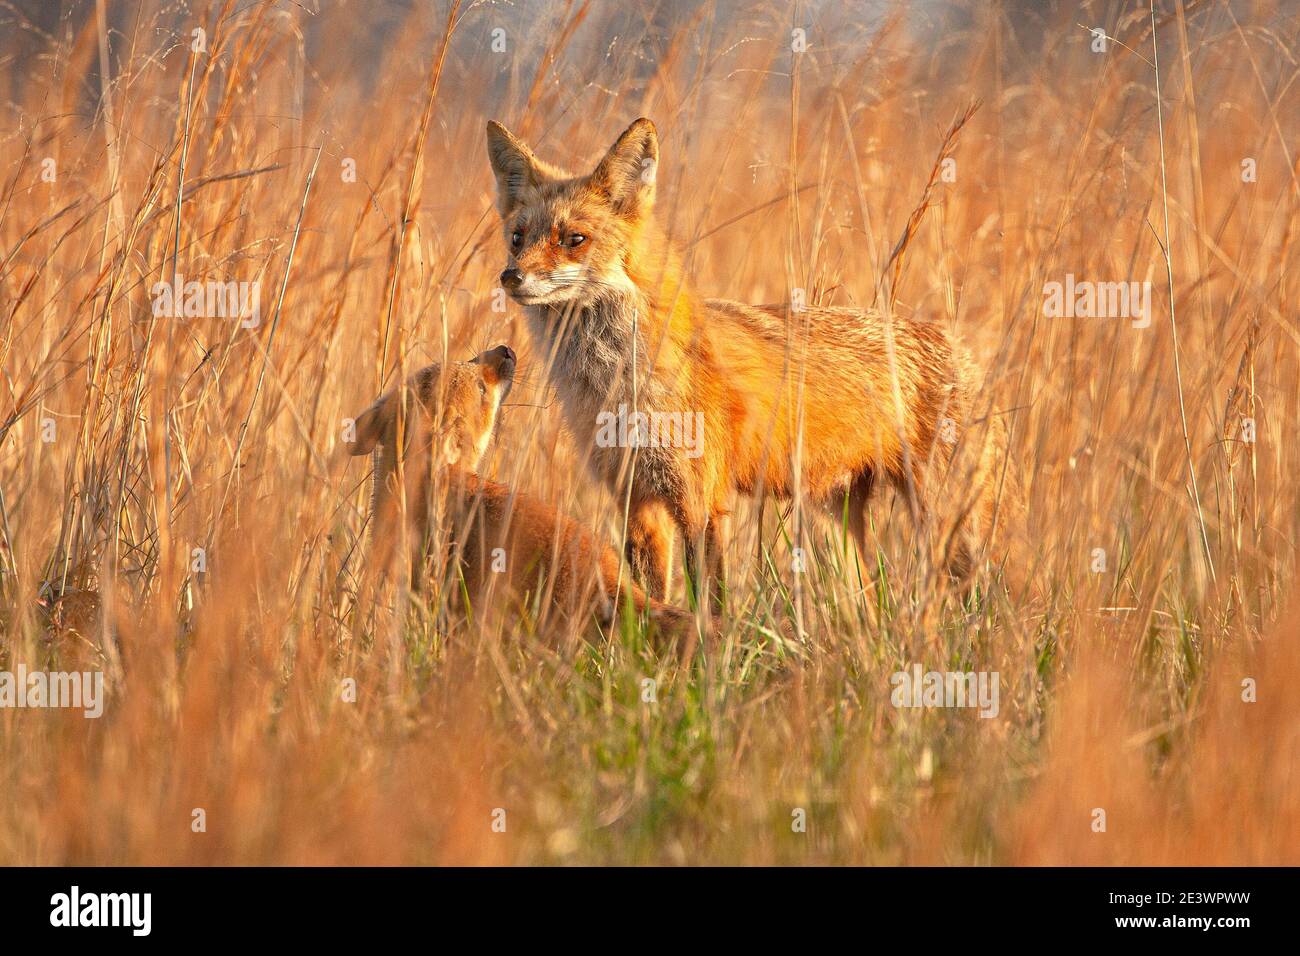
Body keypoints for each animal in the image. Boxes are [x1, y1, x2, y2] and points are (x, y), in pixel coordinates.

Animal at [485, 117, 1013, 601]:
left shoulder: (701, 499)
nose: (511, 277)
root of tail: (959, 345)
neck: (618, 383)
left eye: (573, 239)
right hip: (837, 526)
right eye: (517, 238)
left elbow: (711, 603)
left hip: (947, 521)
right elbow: (652, 600)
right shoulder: (636, 498)